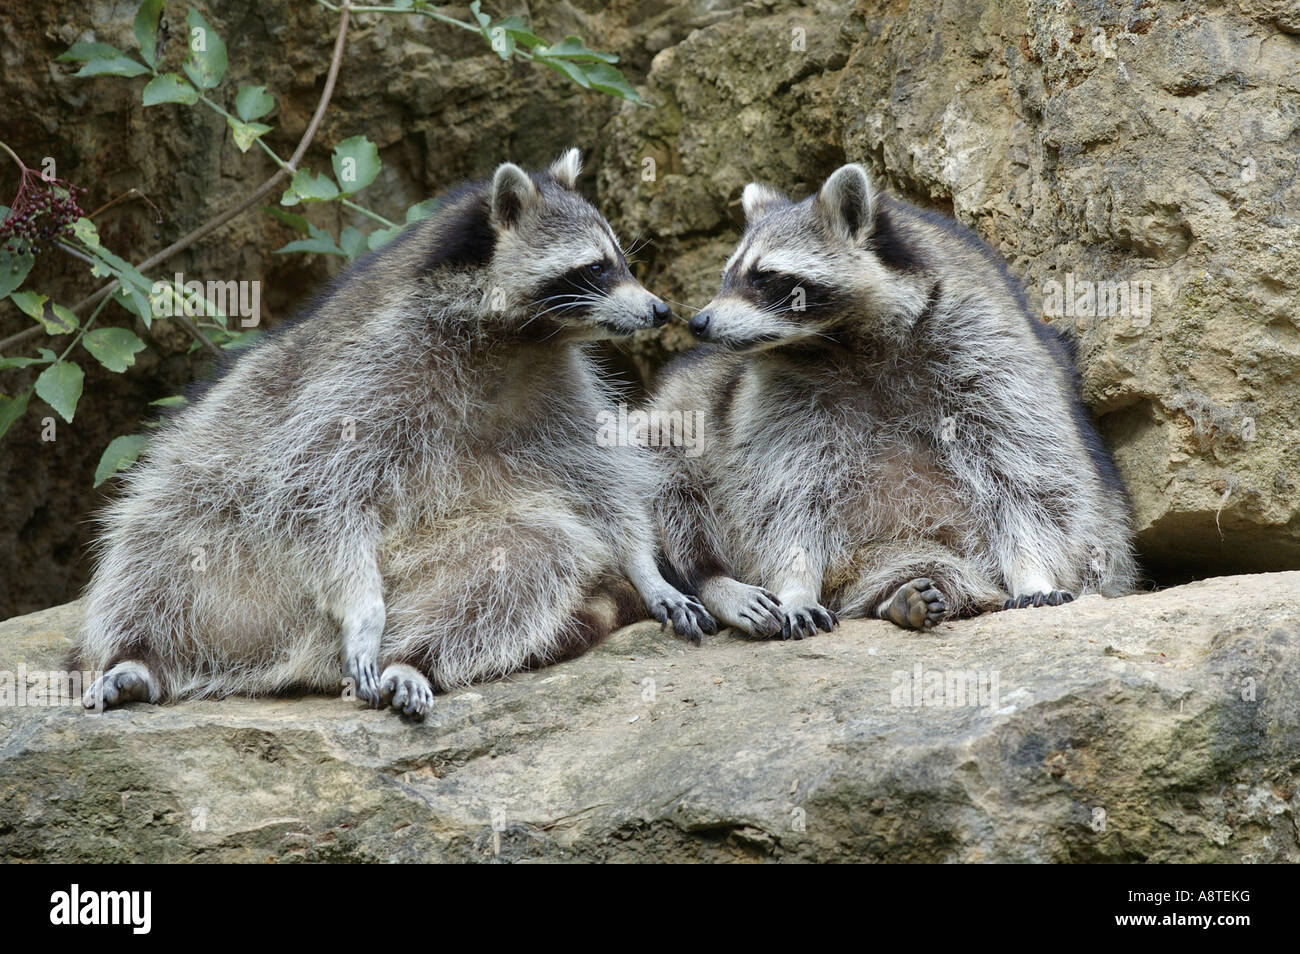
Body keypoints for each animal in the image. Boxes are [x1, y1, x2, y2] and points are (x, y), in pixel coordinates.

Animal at [74, 149, 715, 718]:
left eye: (622, 261)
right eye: (597, 268)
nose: (662, 311)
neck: (512, 335)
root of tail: (293, 660)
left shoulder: (555, 384)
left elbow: (599, 477)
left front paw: (645, 566)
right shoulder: (368, 371)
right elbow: (318, 488)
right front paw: (363, 613)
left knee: (525, 560)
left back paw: (413, 658)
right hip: (212, 518)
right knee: (156, 549)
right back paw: (141, 654)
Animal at [650, 163, 1137, 638]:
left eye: (765, 277)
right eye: (728, 276)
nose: (698, 322)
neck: (848, 345)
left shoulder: (992, 358)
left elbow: (1031, 480)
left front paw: (1032, 571)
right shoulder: (781, 400)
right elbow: (783, 497)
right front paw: (795, 584)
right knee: (670, 477)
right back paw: (719, 579)